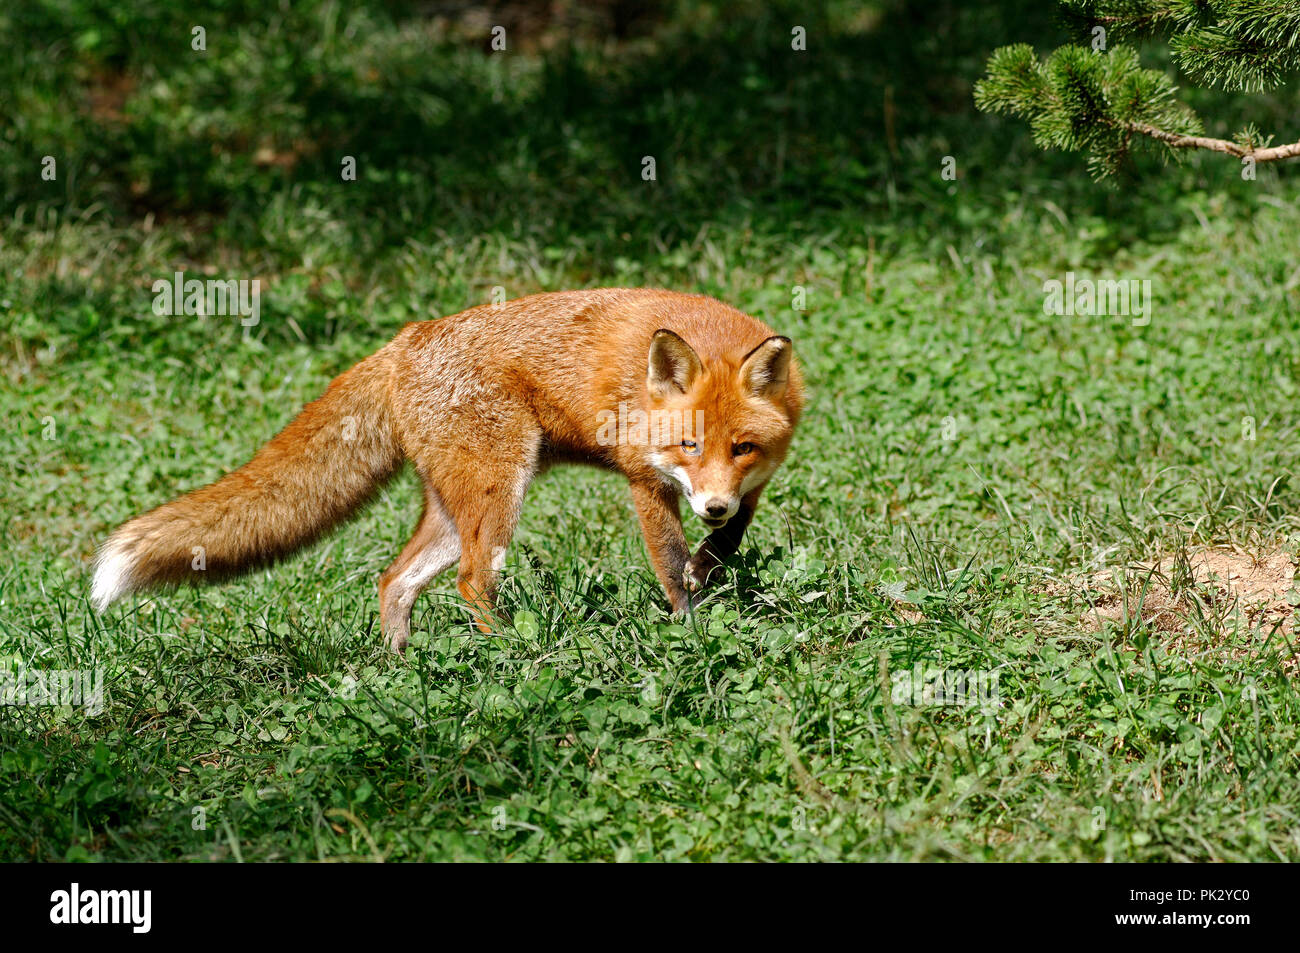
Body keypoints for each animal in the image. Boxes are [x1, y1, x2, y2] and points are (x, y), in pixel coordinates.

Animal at [91, 288, 804, 652]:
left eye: (741, 448)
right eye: (688, 445)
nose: (709, 504)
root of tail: (406, 338)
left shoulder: (753, 487)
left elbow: (730, 538)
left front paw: (710, 564)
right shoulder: (644, 478)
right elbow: (672, 564)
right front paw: (693, 631)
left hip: (455, 508)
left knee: (394, 580)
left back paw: (398, 671)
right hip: (496, 495)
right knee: (471, 583)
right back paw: (514, 657)